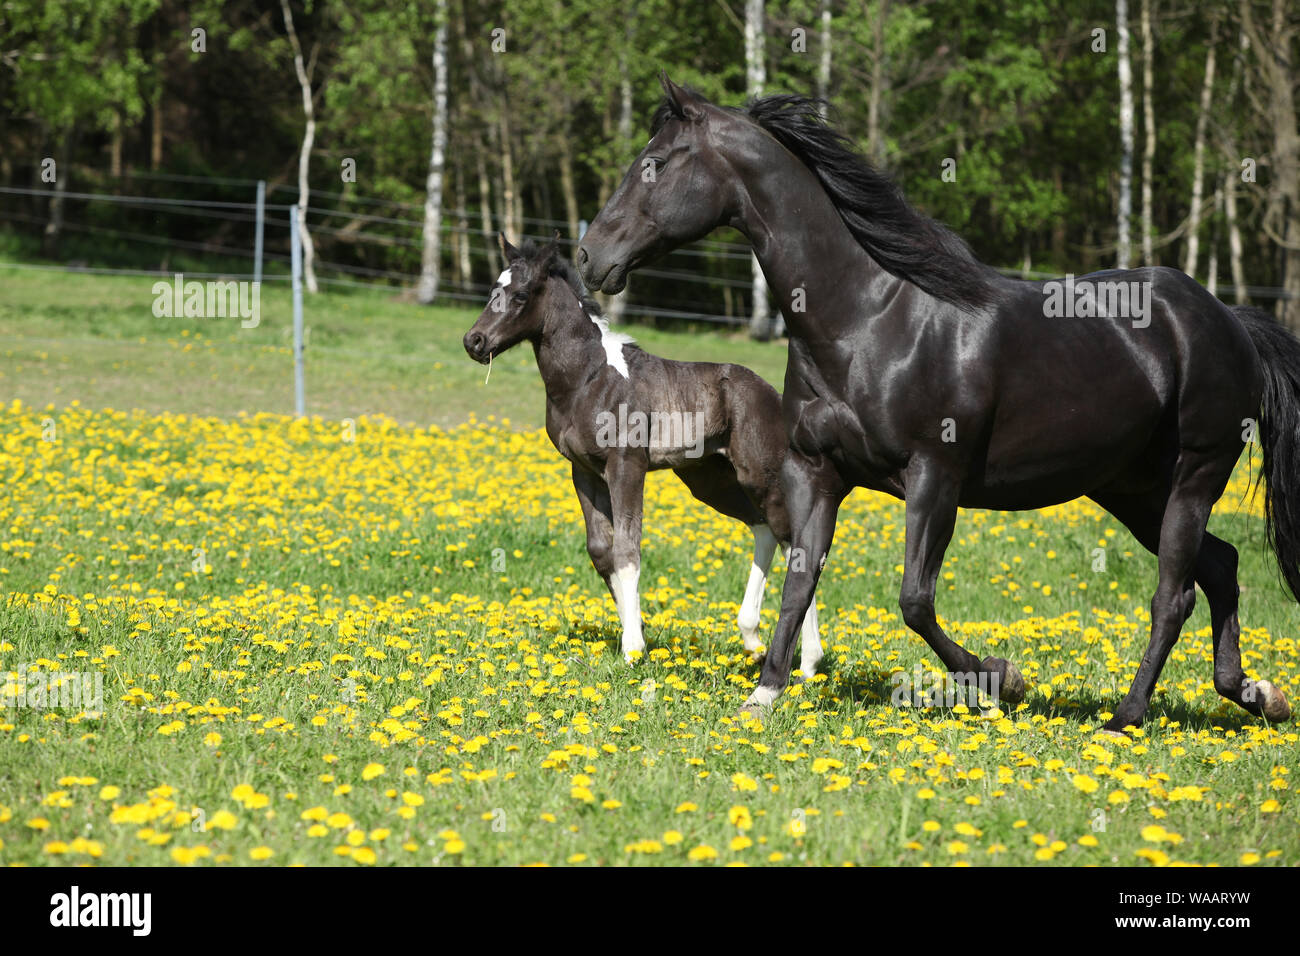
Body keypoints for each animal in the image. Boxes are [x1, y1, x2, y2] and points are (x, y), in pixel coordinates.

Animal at [462, 234, 823, 676]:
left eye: (521, 295)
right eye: (493, 290)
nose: (474, 341)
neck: (588, 378)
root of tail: (771, 394)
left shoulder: (626, 466)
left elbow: (627, 550)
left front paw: (633, 649)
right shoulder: (583, 472)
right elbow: (601, 551)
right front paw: (638, 633)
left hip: (759, 474)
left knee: (793, 543)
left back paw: (808, 662)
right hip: (710, 479)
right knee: (764, 529)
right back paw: (752, 639)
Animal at [577, 75, 1300, 733]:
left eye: (656, 163)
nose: (589, 256)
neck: (867, 319)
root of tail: (1228, 320)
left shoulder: (934, 477)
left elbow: (914, 601)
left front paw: (1001, 678)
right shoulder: (815, 473)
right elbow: (799, 579)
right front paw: (766, 693)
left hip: (1193, 476)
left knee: (1173, 596)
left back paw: (1126, 716)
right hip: (1132, 490)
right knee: (1222, 567)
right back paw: (1256, 696)